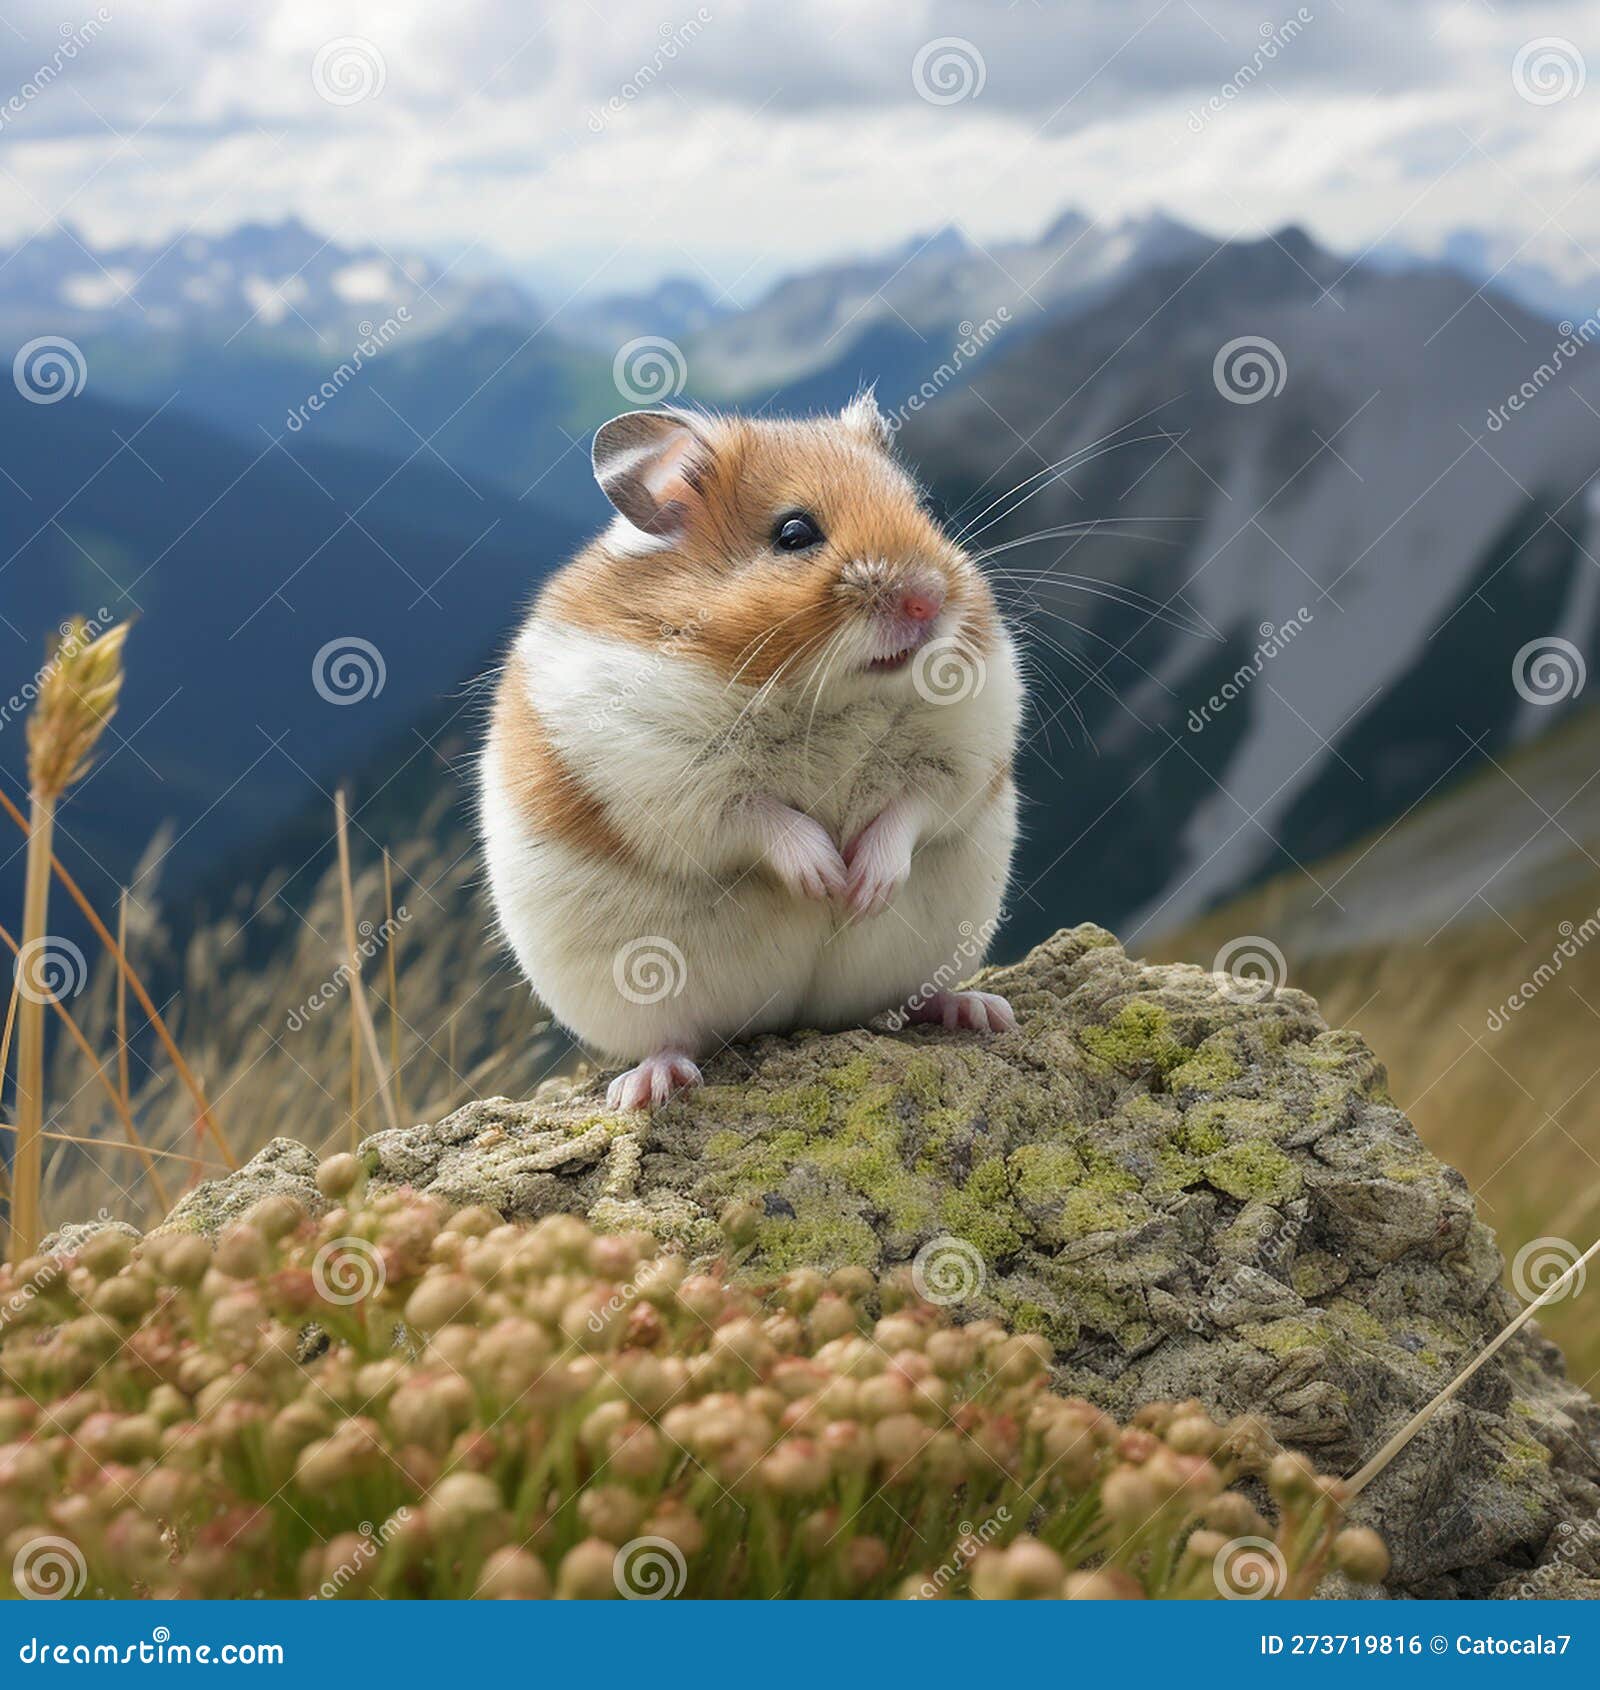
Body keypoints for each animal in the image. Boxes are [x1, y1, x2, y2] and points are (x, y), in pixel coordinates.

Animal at [479, 394, 1023, 1110]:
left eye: (920, 506)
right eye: (794, 533)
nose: (926, 600)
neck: (825, 693)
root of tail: (791, 1021)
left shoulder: (966, 753)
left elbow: (910, 810)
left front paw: (862, 890)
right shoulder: (666, 772)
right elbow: (758, 817)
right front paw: (826, 880)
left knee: (912, 1000)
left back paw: (981, 1011)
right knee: (675, 1037)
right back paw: (646, 1088)